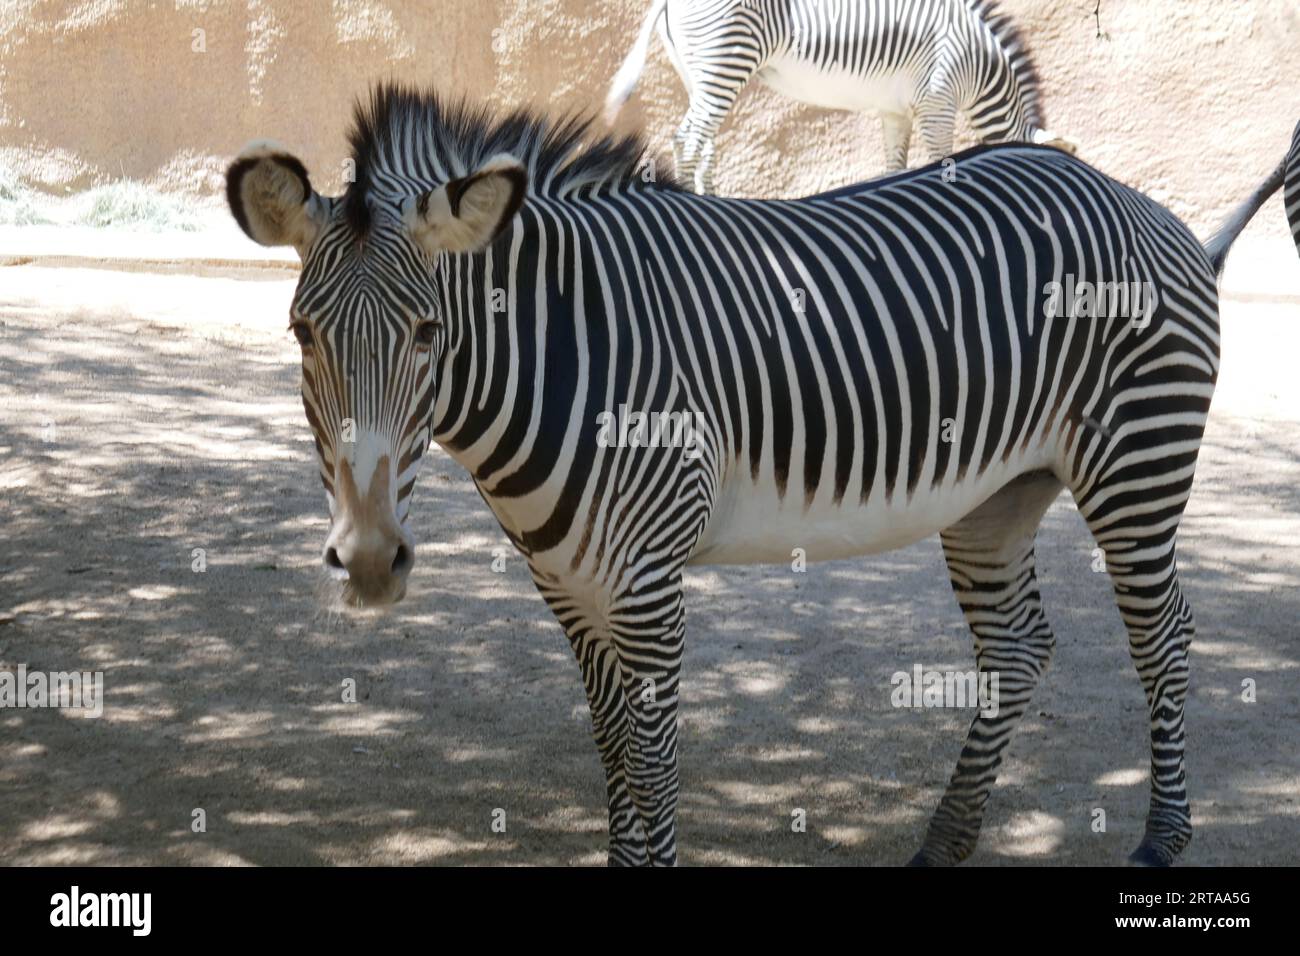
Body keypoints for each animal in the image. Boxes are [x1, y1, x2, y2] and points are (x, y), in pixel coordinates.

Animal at [227, 83, 1284, 866]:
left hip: (1137, 463)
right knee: (1020, 648)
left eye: (428, 334)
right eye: (301, 333)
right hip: (996, 495)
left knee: (1165, 637)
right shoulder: (566, 584)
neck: (561, 354)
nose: (369, 563)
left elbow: (652, 765)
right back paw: (944, 841)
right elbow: (613, 749)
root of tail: (1126, 192)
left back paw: (1161, 838)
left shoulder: (647, 584)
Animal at [604, 0, 1075, 193]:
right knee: (688, 141)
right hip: (727, 61)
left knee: (704, 144)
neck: (982, 68)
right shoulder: (938, 101)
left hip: (700, 75)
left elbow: (894, 167)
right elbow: (943, 161)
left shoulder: (896, 112)